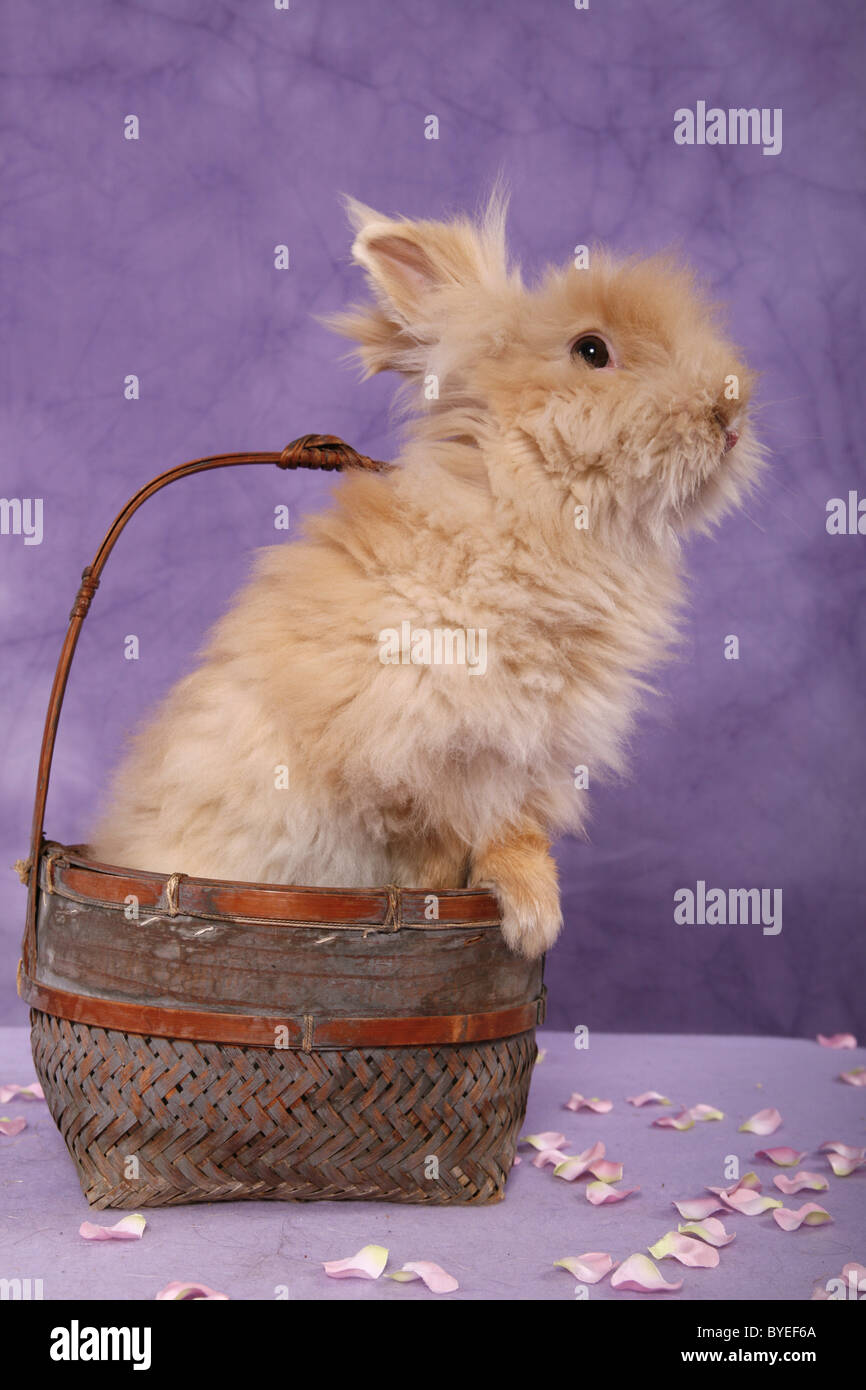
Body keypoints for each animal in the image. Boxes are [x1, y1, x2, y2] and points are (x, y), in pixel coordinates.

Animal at [89, 190, 762, 958]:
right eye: (591, 350)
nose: (731, 415)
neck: (532, 504)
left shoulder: (526, 761)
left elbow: (511, 837)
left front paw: (535, 916)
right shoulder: (401, 745)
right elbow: (430, 837)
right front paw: (440, 905)